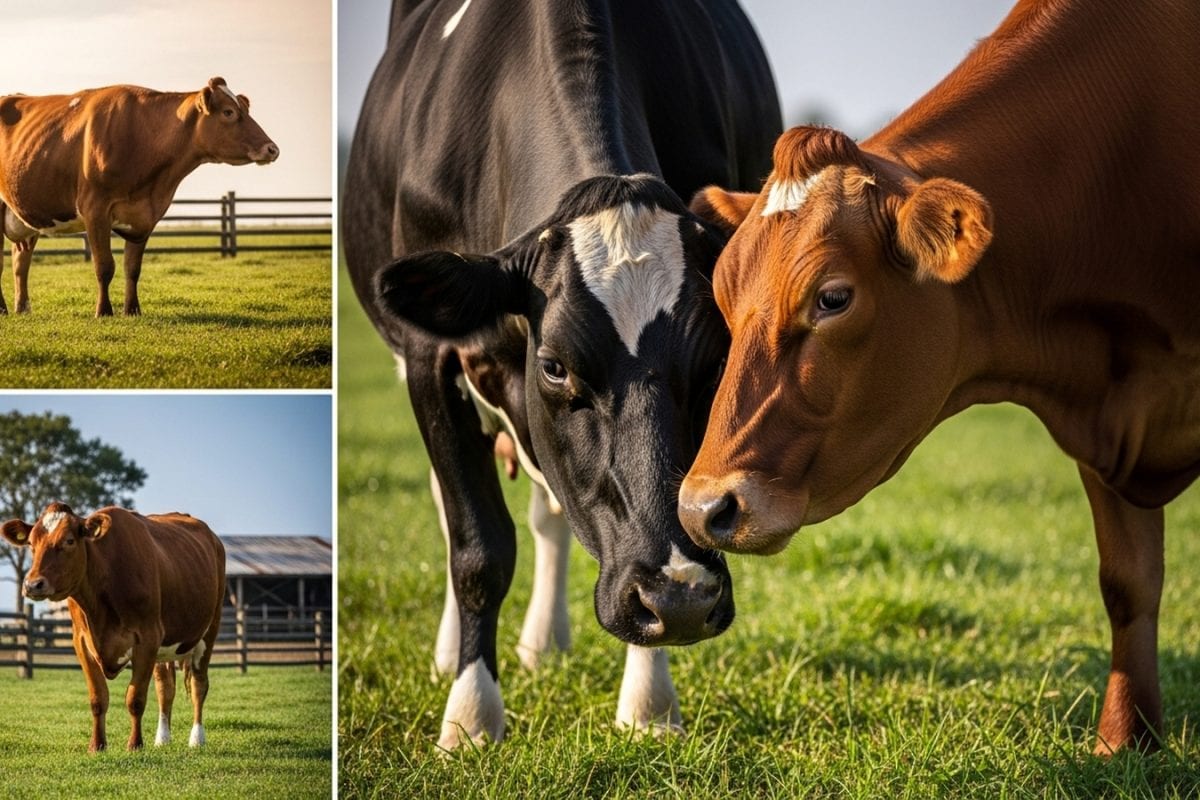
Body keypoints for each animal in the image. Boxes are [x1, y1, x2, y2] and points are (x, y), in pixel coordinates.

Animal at [0, 76, 279, 316]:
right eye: (228, 112)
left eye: (245, 109)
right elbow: (105, 266)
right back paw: (4, 309)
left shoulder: (145, 216)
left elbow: (132, 268)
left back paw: (22, 308)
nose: (272, 148)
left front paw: (132, 310)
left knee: (20, 261)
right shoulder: (95, 209)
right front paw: (104, 311)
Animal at [1, 503, 226, 752]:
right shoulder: (82, 641)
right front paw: (97, 745)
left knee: (199, 684)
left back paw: (197, 739)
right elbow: (98, 698)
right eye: (31, 543)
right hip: (164, 647)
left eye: (69, 540)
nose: (33, 584)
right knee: (165, 688)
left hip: (209, 631)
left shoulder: (147, 638)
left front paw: (135, 745)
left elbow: (135, 698)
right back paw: (162, 738)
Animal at [344, 0, 781, 749]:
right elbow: (477, 546)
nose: (680, 598)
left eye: (717, 358)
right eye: (554, 365)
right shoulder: (429, 357)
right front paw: (471, 716)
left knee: (550, 513)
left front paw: (649, 704)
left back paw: (543, 643)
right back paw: (450, 651)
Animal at [676, 0, 1200, 756]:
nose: (701, 508)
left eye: (833, 297)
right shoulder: (1108, 421)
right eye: (721, 295)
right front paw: (1126, 740)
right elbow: (1128, 582)